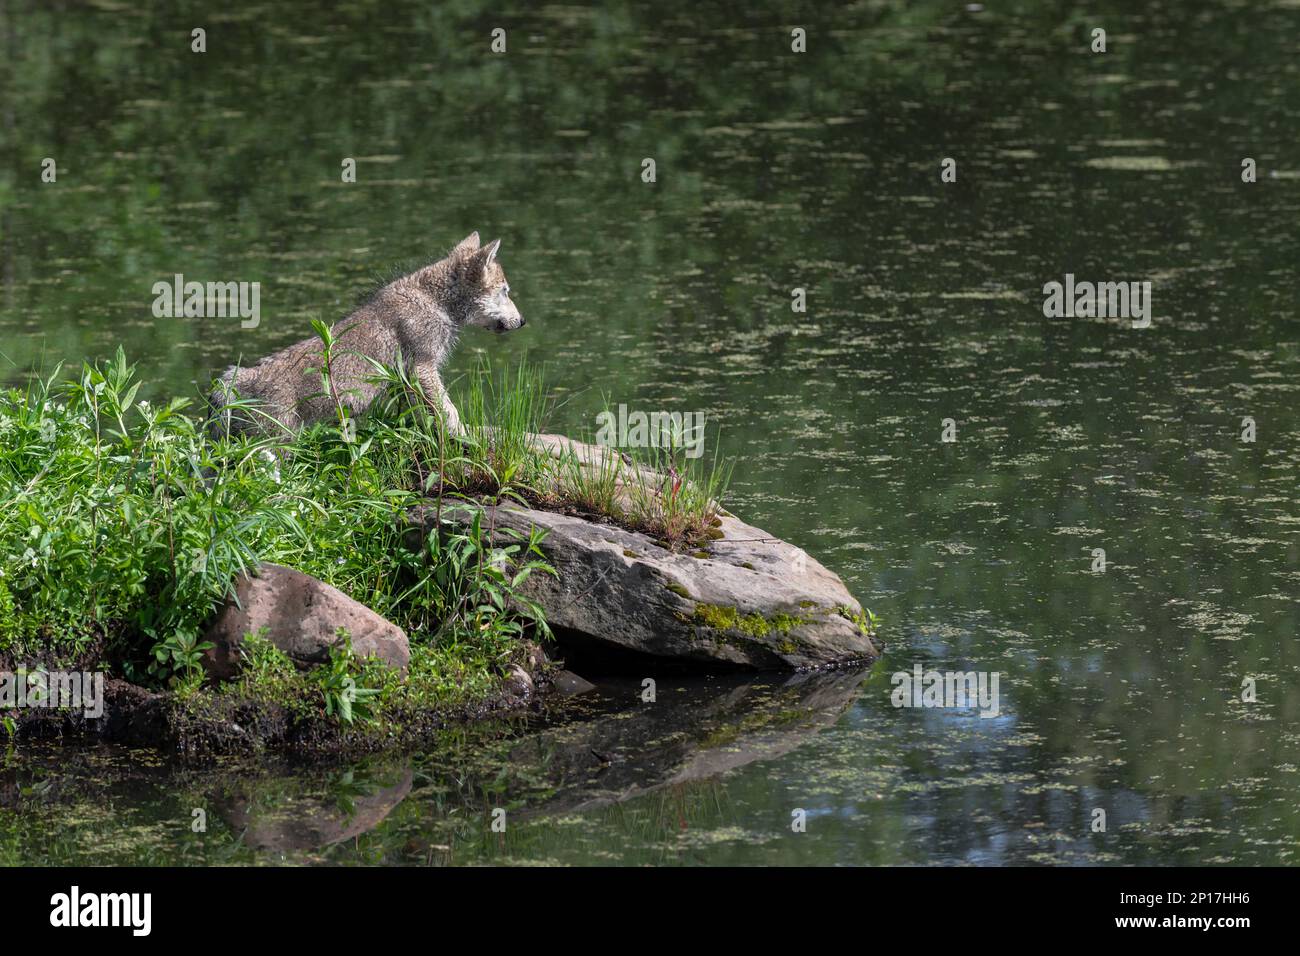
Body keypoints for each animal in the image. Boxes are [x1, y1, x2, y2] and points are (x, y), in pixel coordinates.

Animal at [209, 232, 523, 439]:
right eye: (505, 291)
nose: (522, 321)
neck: (433, 300)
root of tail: (239, 377)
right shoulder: (423, 367)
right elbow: (449, 409)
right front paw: (460, 434)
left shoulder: (406, 378)